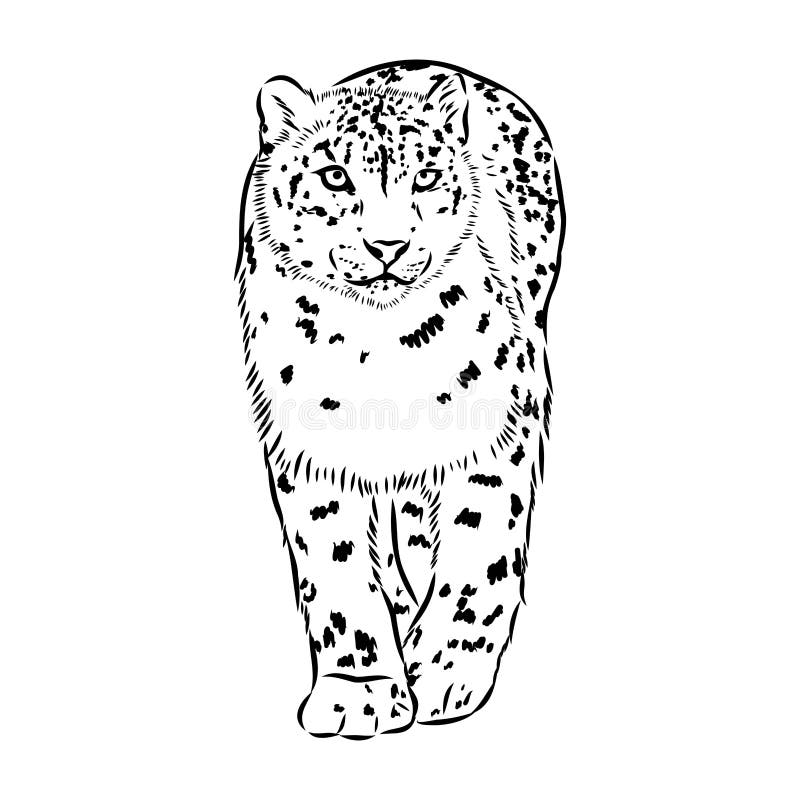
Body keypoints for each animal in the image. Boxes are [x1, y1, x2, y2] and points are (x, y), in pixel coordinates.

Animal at [234, 60, 565, 738]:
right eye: (334, 175)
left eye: (427, 176)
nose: (389, 247)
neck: (378, 347)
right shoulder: (313, 454)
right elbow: (335, 571)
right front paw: (357, 692)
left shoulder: (493, 436)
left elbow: (479, 555)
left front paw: (444, 673)